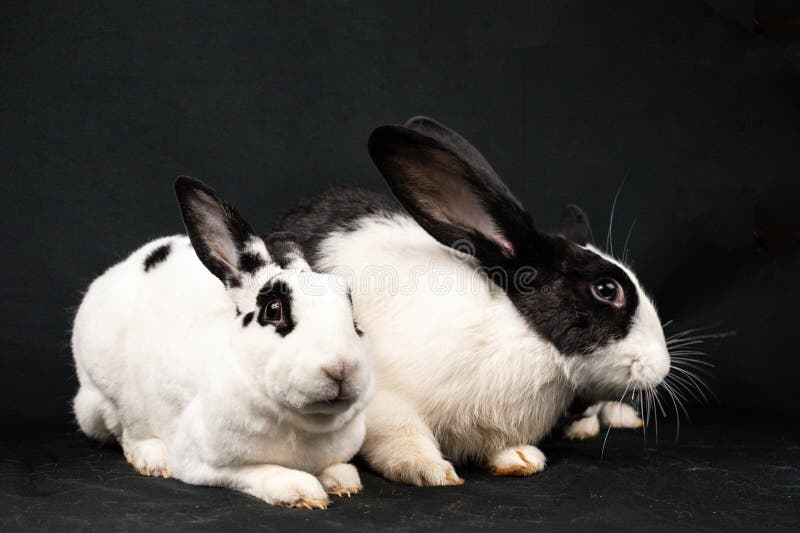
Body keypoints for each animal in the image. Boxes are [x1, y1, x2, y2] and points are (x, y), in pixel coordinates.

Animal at [71, 177, 374, 508]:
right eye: (273, 310)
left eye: (353, 317)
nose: (341, 366)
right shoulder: (203, 464)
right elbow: (262, 471)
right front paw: (301, 491)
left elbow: (337, 468)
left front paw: (344, 481)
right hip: (107, 396)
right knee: (127, 432)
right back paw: (154, 459)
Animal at [273, 116, 670, 486]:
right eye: (606, 289)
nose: (663, 368)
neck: (520, 332)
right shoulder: (387, 400)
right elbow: (402, 436)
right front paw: (429, 469)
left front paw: (520, 458)